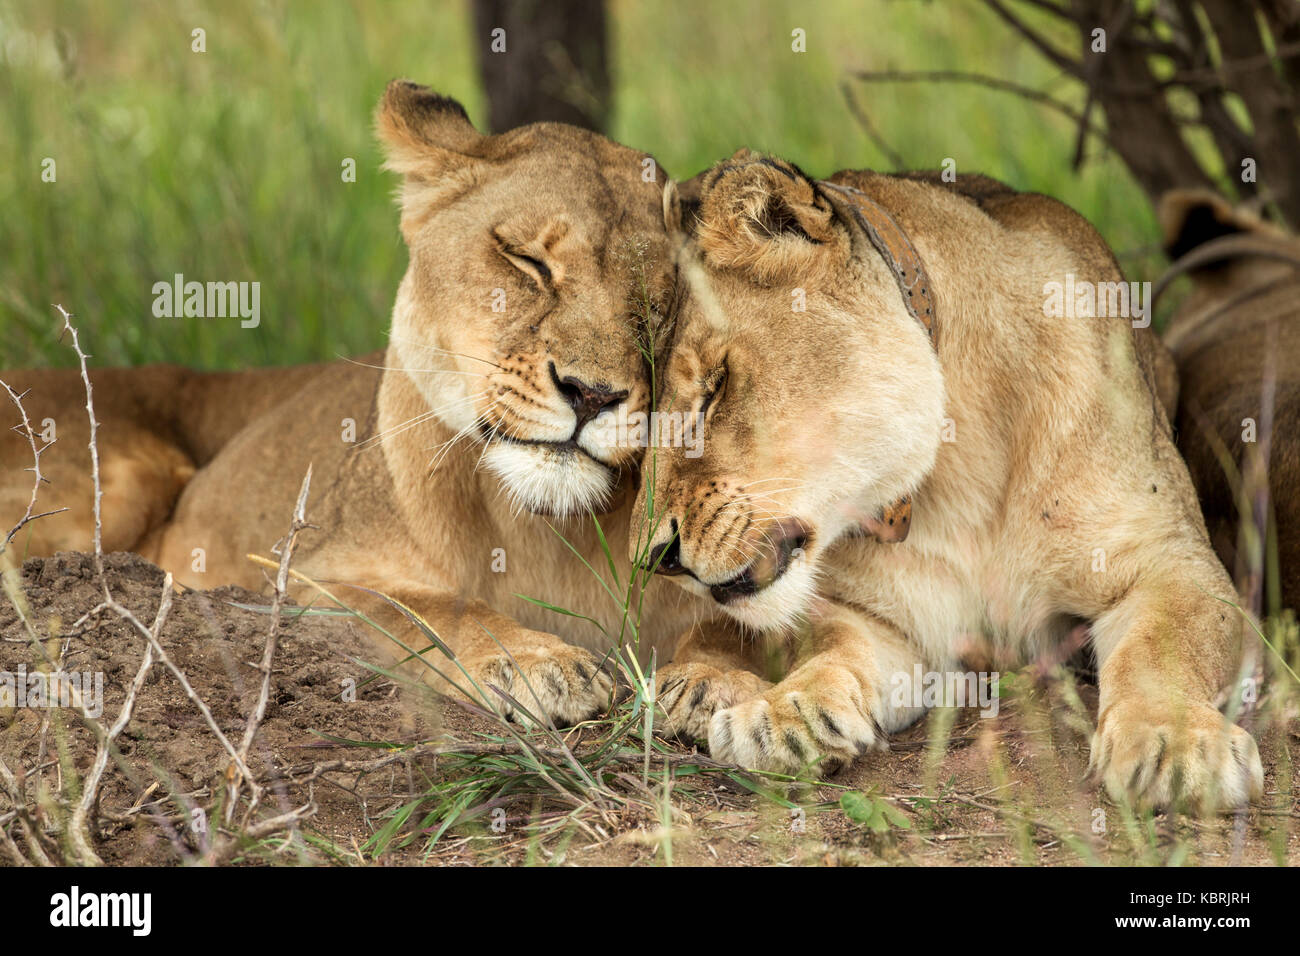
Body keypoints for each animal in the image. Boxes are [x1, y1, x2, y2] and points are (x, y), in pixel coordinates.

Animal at [1, 81, 714, 724]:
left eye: (660, 306)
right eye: (526, 261)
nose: (592, 394)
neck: (550, 533)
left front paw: (716, 686)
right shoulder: (294, 581)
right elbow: (425, 608)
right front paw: (536, 661)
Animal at [630, 151, 1264, 811]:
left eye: (715, 387)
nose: (654, 556)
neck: (962, 469)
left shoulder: (1172, 560)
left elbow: (1162, 648)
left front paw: (1177, 747)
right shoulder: (893, 622)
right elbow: (835, 647)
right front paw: (786, 715)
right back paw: (700, 685)